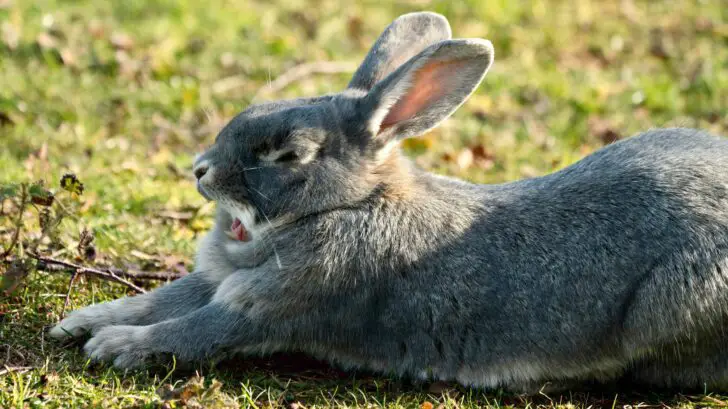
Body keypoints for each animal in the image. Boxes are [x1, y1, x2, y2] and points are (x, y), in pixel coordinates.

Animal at [50, 11, 728, 393]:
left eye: (289, 155)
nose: (201, 171)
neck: (346, 206)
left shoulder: (270, 307)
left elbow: (193, 328)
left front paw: (116, 347)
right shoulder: (221, 279)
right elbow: (163, 297)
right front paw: (83, 321)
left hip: (673, 304)